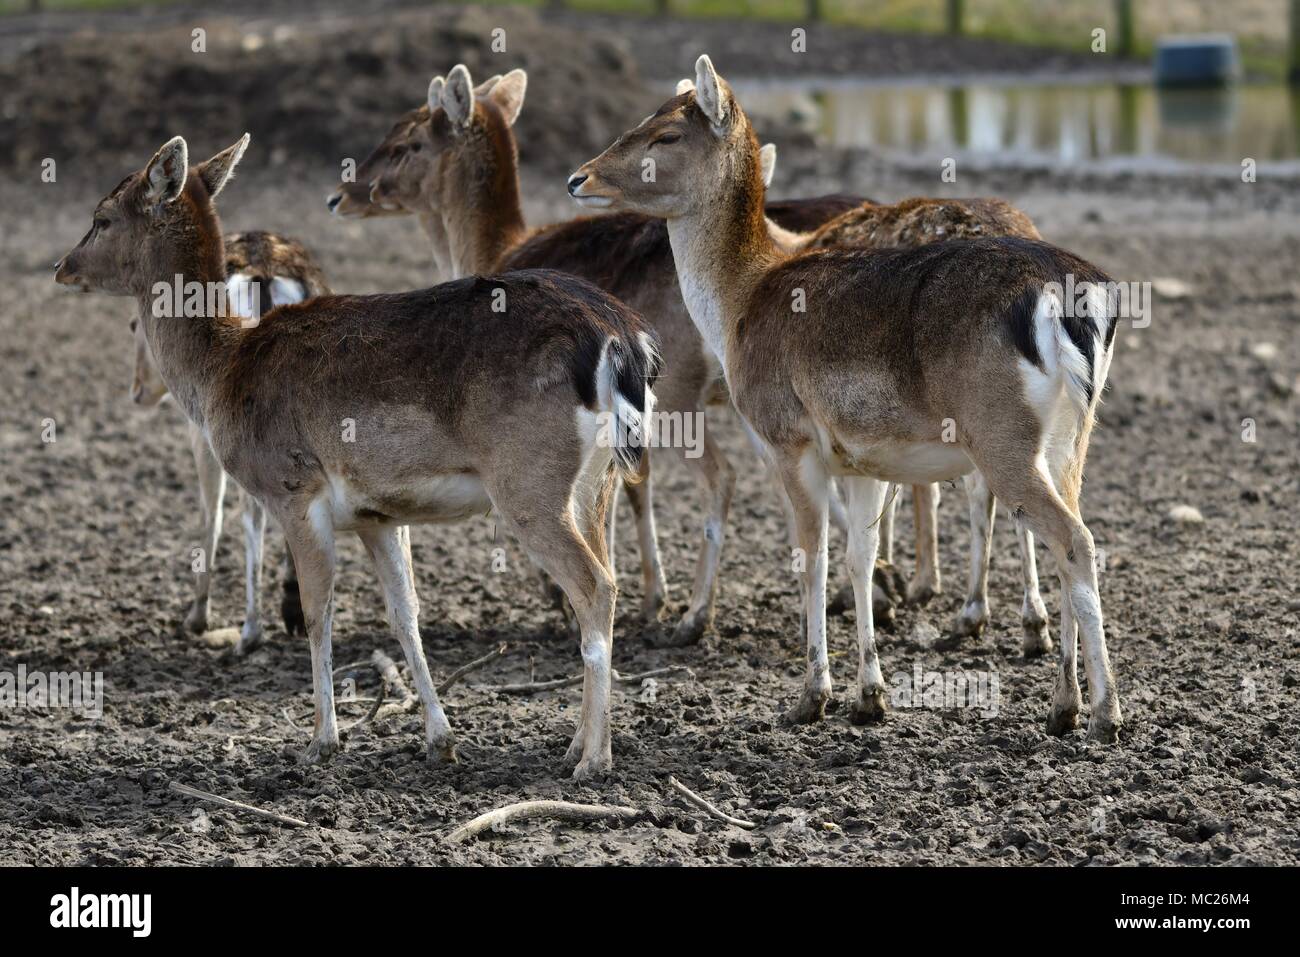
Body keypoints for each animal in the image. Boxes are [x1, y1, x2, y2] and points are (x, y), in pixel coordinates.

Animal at [127, 231, 331, 652]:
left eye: (133, 324)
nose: (136, 391)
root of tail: (264, 275)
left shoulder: (203, 432)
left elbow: (211, 514)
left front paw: (197, 616)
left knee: (251, 515)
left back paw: (250, 630)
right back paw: (289, 611)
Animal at [325, 65, 913, 646]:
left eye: (408, 142)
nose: (340, 195)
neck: (492, 247)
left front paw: (586, 598)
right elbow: (629, 482)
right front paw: (644, 595)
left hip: (682, 394)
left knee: (725, 480)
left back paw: (698, 616)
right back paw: (884, 589)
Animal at [569, 56, 1123, 743]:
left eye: (666, 134)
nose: (577, 177)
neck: (739, 303)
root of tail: (1076, 301)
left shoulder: (789, 438)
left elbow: (813, 555)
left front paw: (811, 695)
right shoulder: (866, 459)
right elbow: (860, 556)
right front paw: (869, 695)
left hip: (1003, 437)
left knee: (1073, 540)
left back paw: (1103, 712)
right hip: (1072, 437)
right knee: (1067, 534)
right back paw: (1062, 703)